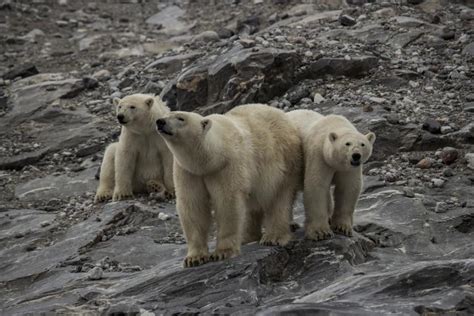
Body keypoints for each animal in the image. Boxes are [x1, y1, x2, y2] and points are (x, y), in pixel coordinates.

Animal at [157, 103, 302, 266]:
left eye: (181, 118)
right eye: (166, 114)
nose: (160, 122)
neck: (211, 159)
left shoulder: (227, 165)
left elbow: (227, 202)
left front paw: (223, 252)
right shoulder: (188, 171)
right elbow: (193, 205)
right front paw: (194, 258)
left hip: (284, 162)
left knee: (279, 198)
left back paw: (273, 237)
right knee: (252, 205)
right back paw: (247, 237)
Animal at [286, 108, 376, 239]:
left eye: (362, 144)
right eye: (347, 143)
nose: (356, 155)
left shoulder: (349, 169)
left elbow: (348, 189)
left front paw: (342, 228)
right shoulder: (319, 156)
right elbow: (316, 186)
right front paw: (320, 232)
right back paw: (290, 224)